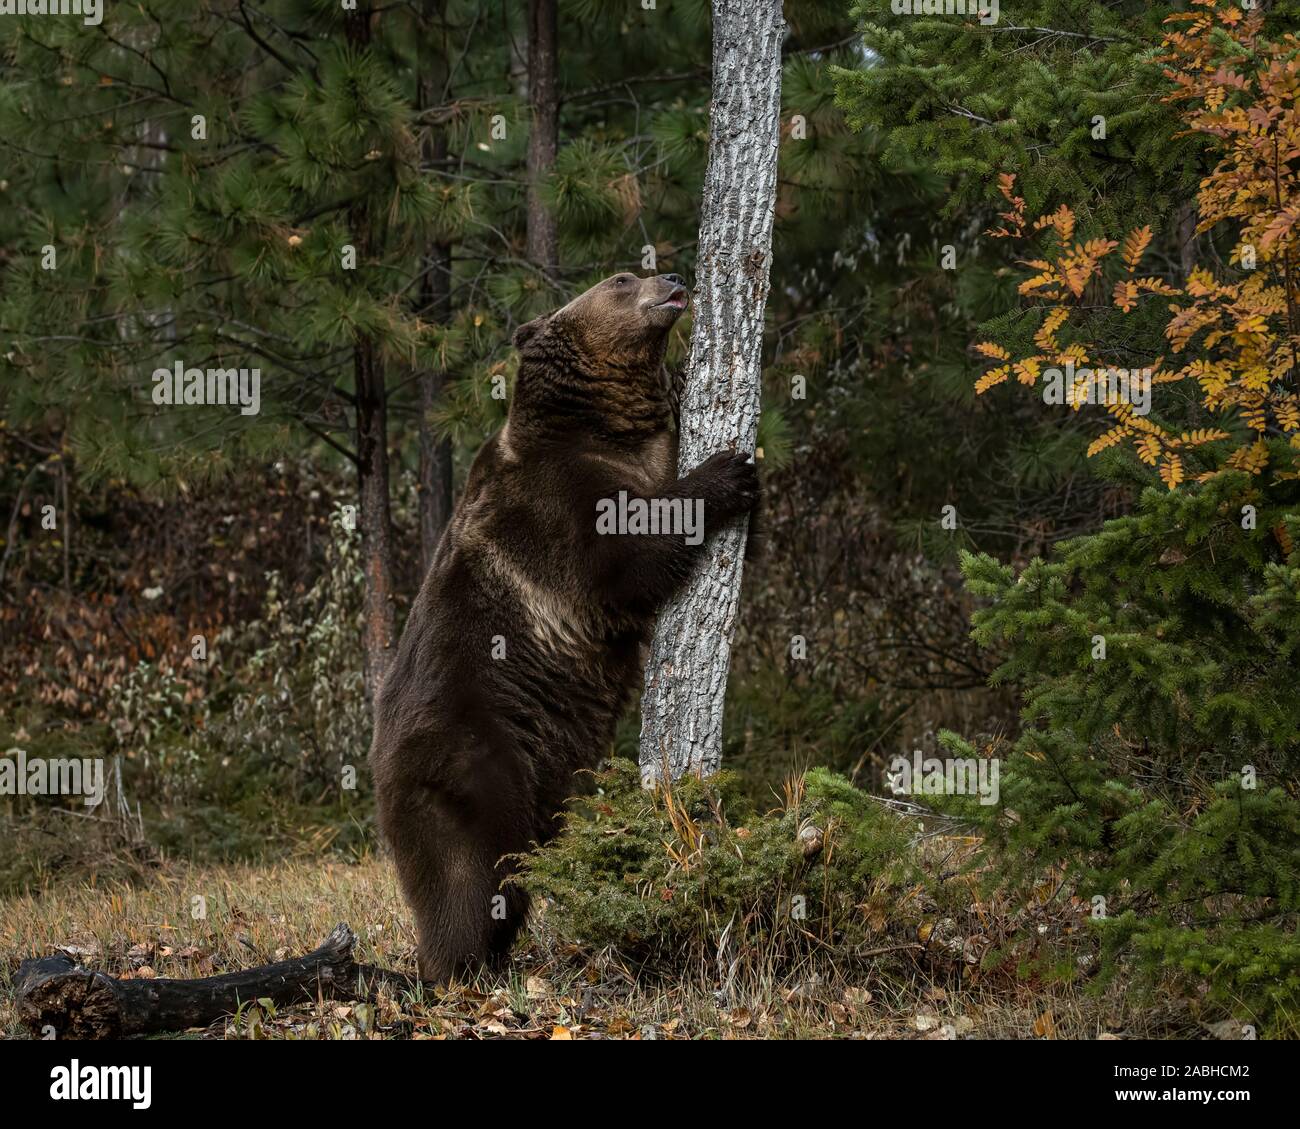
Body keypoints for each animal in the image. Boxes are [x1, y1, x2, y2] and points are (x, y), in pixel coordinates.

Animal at [369, 271, 760, 982]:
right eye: (622, 279)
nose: (673, 279)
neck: (606, 424)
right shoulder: (559, 500)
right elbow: (624, 556)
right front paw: (728, 471)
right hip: (471, 754)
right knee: (476, 870)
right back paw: (458, 966)